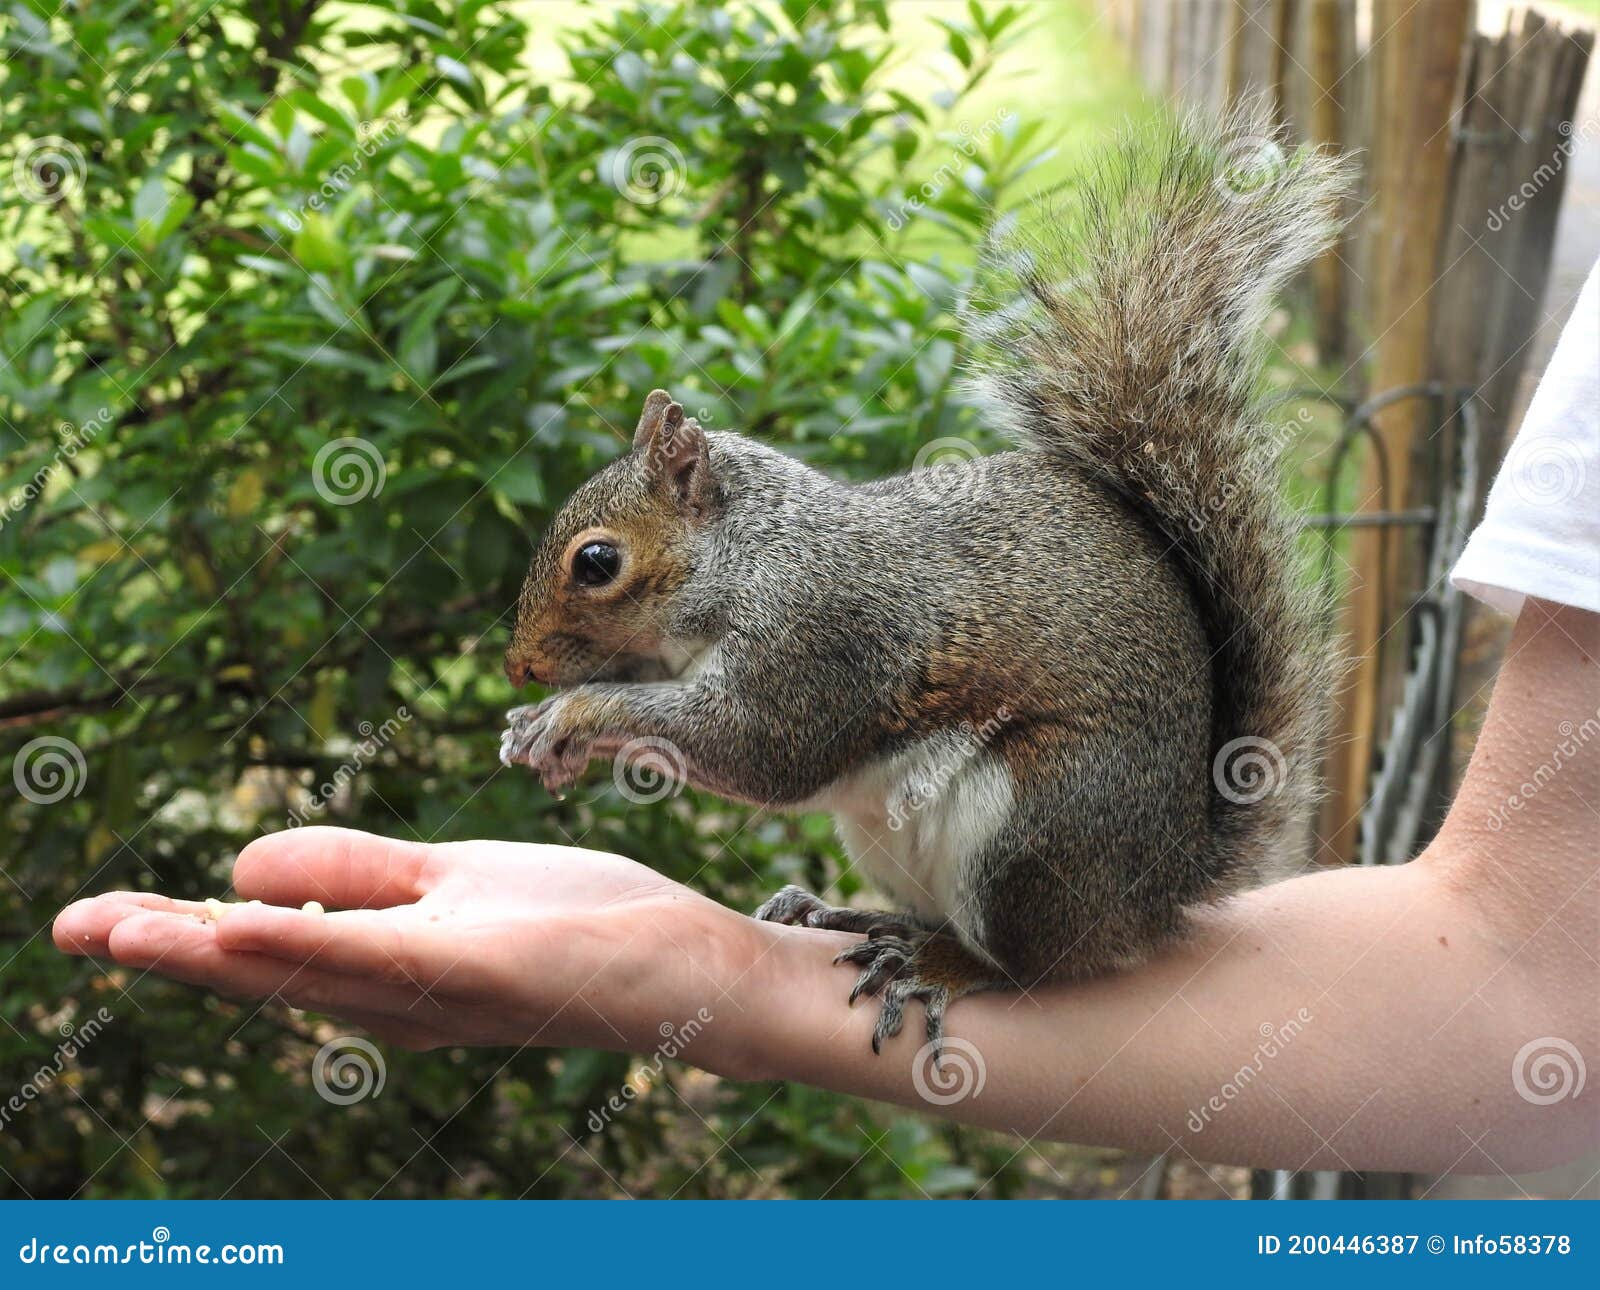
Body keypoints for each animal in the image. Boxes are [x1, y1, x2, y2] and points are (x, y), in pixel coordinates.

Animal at [500, 110, 1351, 1058]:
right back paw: (844, 915)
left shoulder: (820, 636)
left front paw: (574, 715)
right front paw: (539, 725)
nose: (519, 666)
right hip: (885, 836)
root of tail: (1159, 895)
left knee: (1034, 966)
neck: (751, 556)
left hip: (1032, 827)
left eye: (596, 562)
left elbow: (757, 749)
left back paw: (940, 963)